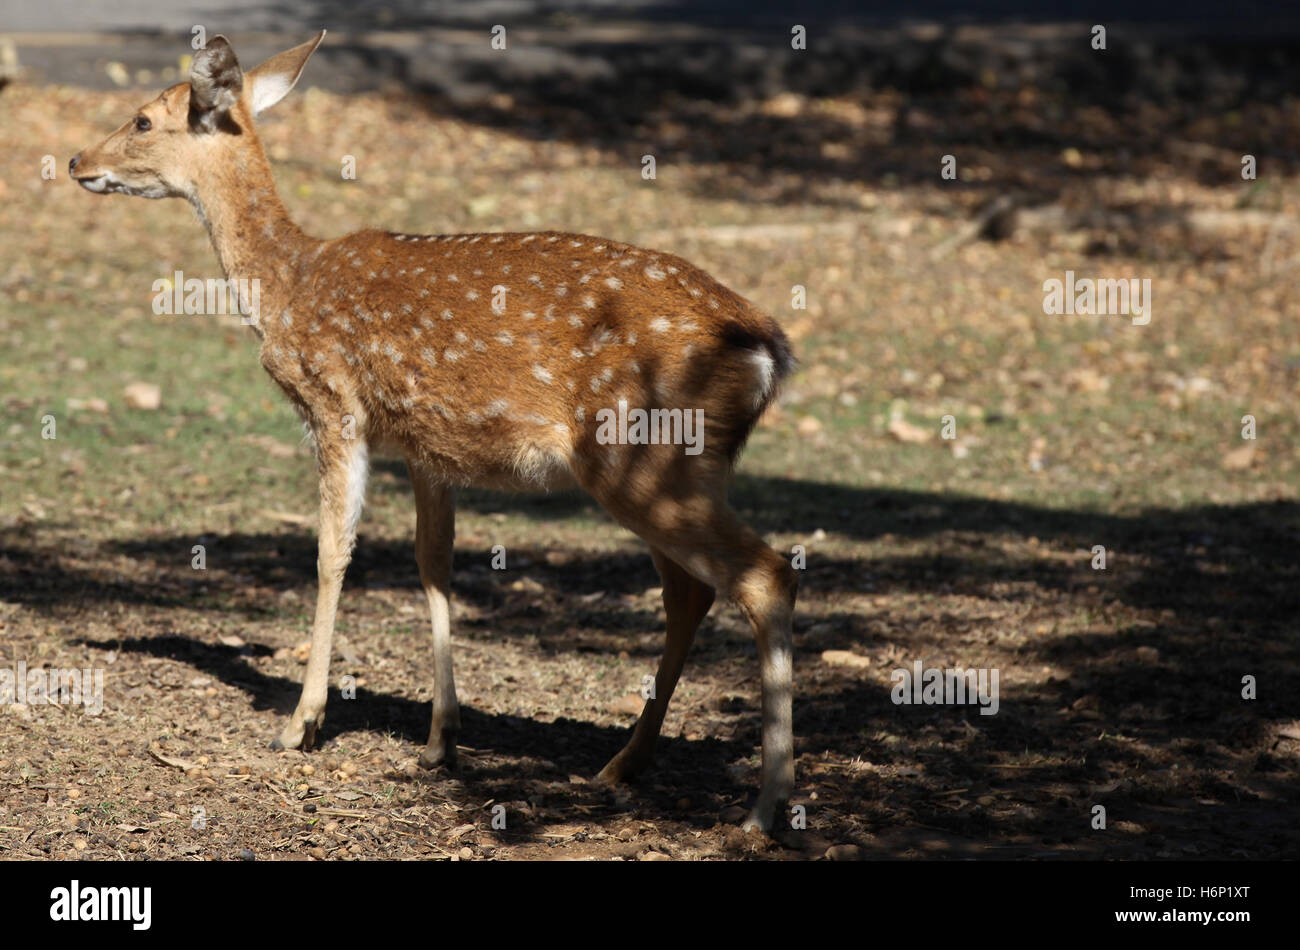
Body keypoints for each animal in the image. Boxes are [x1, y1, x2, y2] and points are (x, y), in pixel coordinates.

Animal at [71, 32, 798, 832]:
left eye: (142, 119)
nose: (75, 161)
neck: (287, 286)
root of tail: (767, 350)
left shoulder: (335, 406)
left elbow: (331, 555)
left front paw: (301, 721)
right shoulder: (426, 448)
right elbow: (434, 564)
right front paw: (441, 739)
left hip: (640, 455)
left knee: (765, 574)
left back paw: (765, 806)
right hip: (678, 466)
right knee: (691, 592)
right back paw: (623, 764)